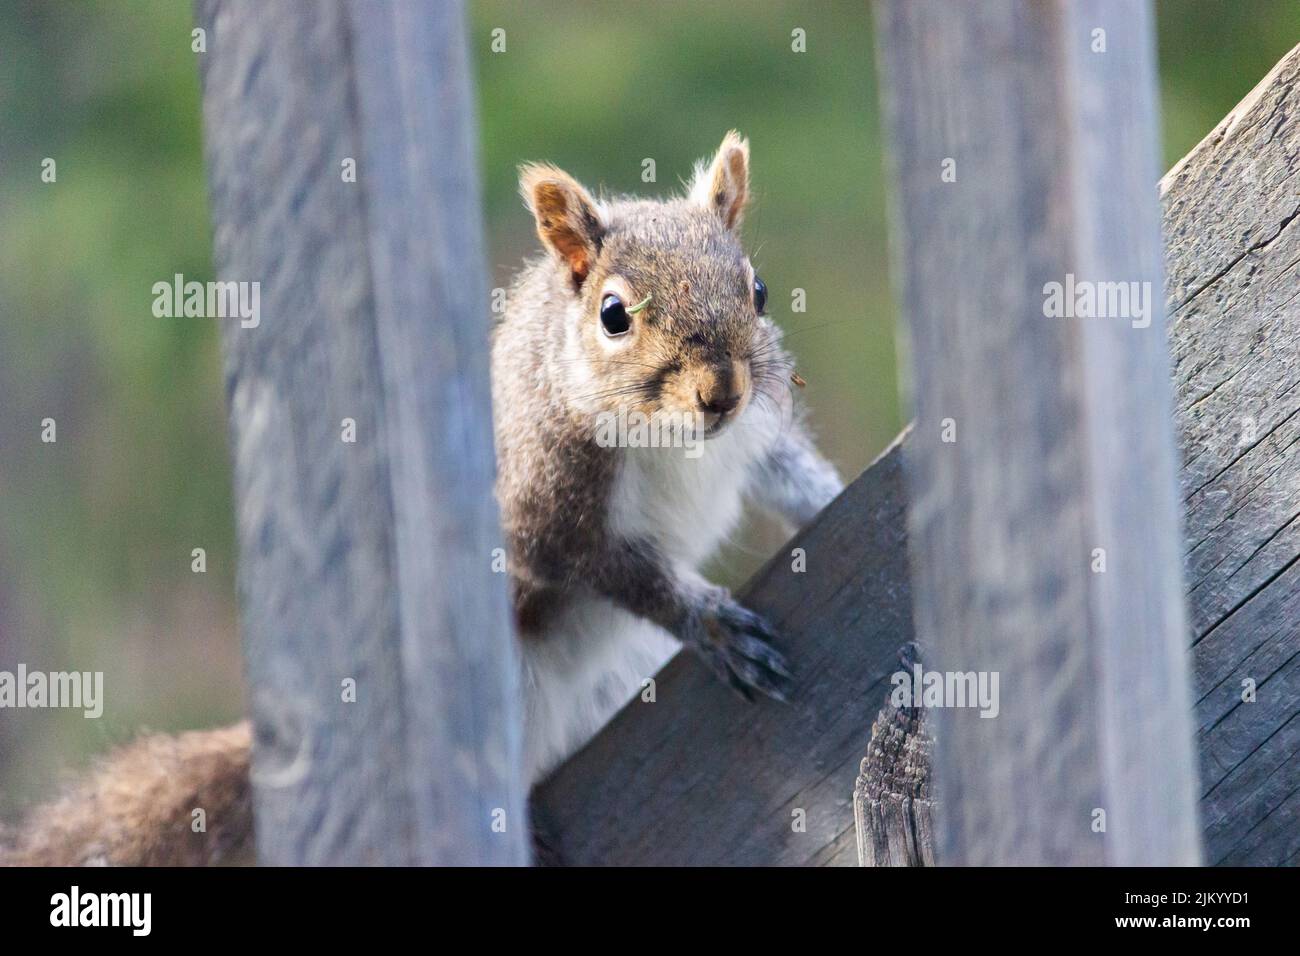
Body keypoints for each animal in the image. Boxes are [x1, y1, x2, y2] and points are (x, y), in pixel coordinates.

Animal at [0, 132, 843, 865]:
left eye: (758, 291)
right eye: (613, 315)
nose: (720, 394)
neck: (671, 437)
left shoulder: (755, 434)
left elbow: (791, 473)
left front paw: (831, 500)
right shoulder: (548, 507)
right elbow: (625, 575)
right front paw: (711, 624)